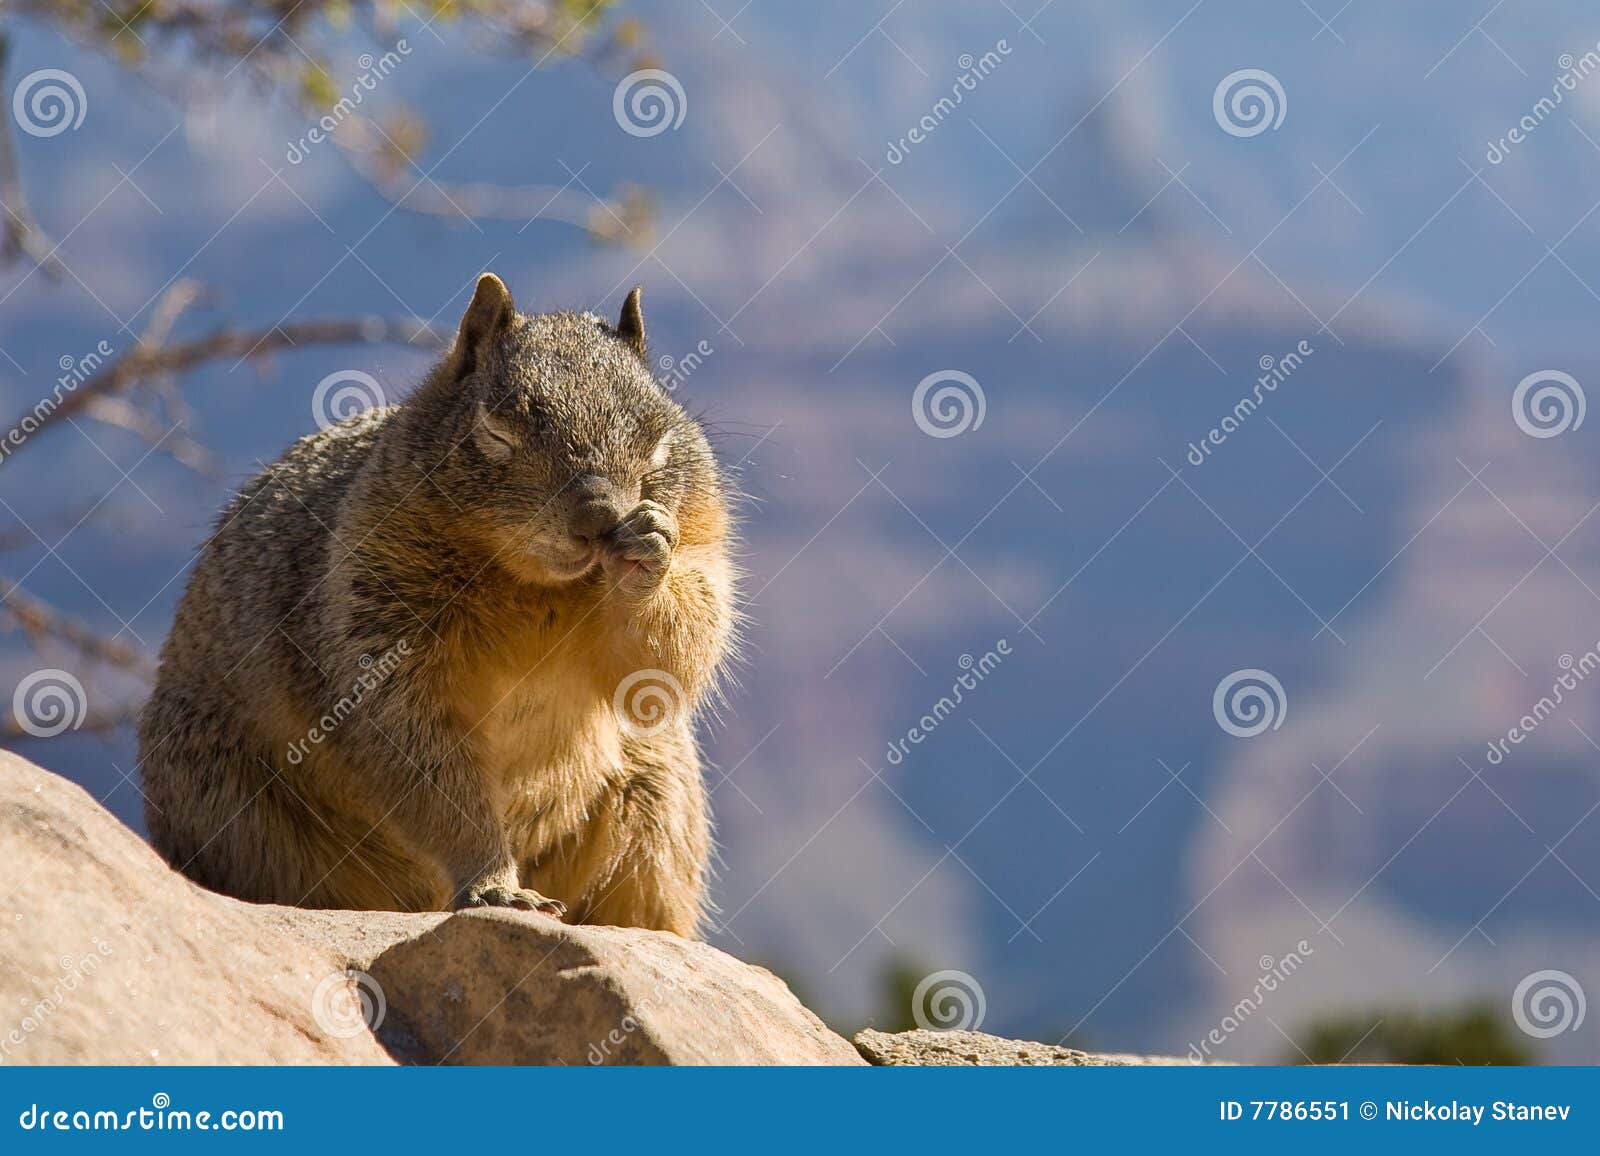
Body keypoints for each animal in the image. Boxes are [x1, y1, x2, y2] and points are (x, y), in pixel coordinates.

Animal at [138, 275, 738, 937]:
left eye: (659, 442)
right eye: (497, 431)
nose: (601, 518)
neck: (538, 587)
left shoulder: (704, 537)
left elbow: (673, 653)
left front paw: (648, 551)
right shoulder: (376, 615)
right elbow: (420, 753)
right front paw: (497, 887)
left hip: (659, 794)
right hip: (230, 802)